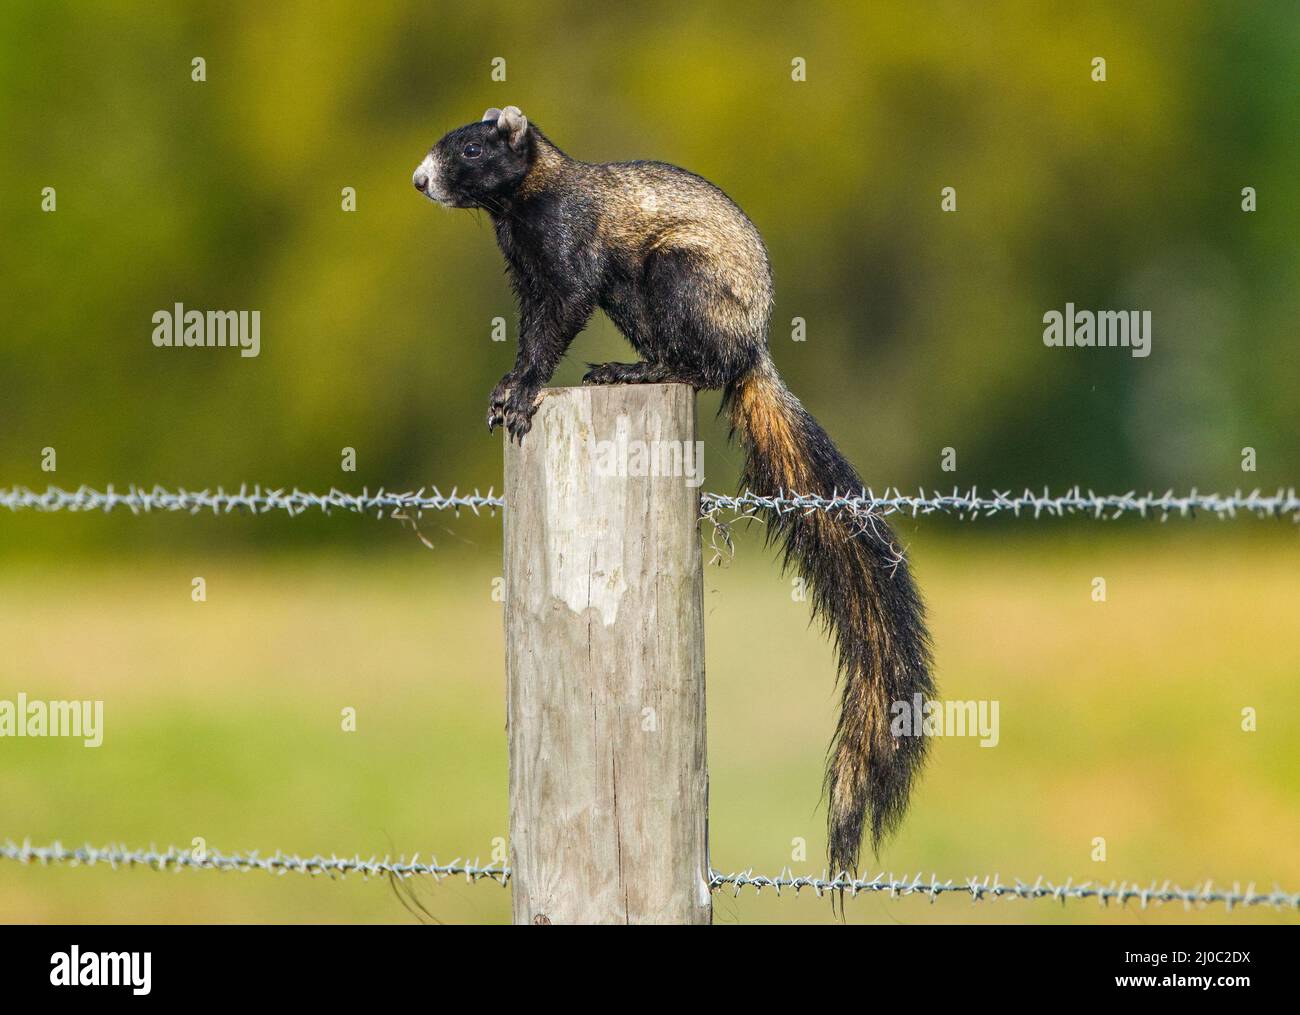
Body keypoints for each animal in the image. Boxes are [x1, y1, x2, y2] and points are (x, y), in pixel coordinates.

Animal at [414, 106, 935, 876]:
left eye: (470, 148)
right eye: (442, 142)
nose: (421, 177)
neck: (529, 219)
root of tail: (753, 347)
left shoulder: (569, 264)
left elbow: (553, 327)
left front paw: (522, 392)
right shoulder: (532, 275)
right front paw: (507, 386)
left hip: (671, 270)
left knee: (698, 364)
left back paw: (630, 371)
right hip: (634, 299)